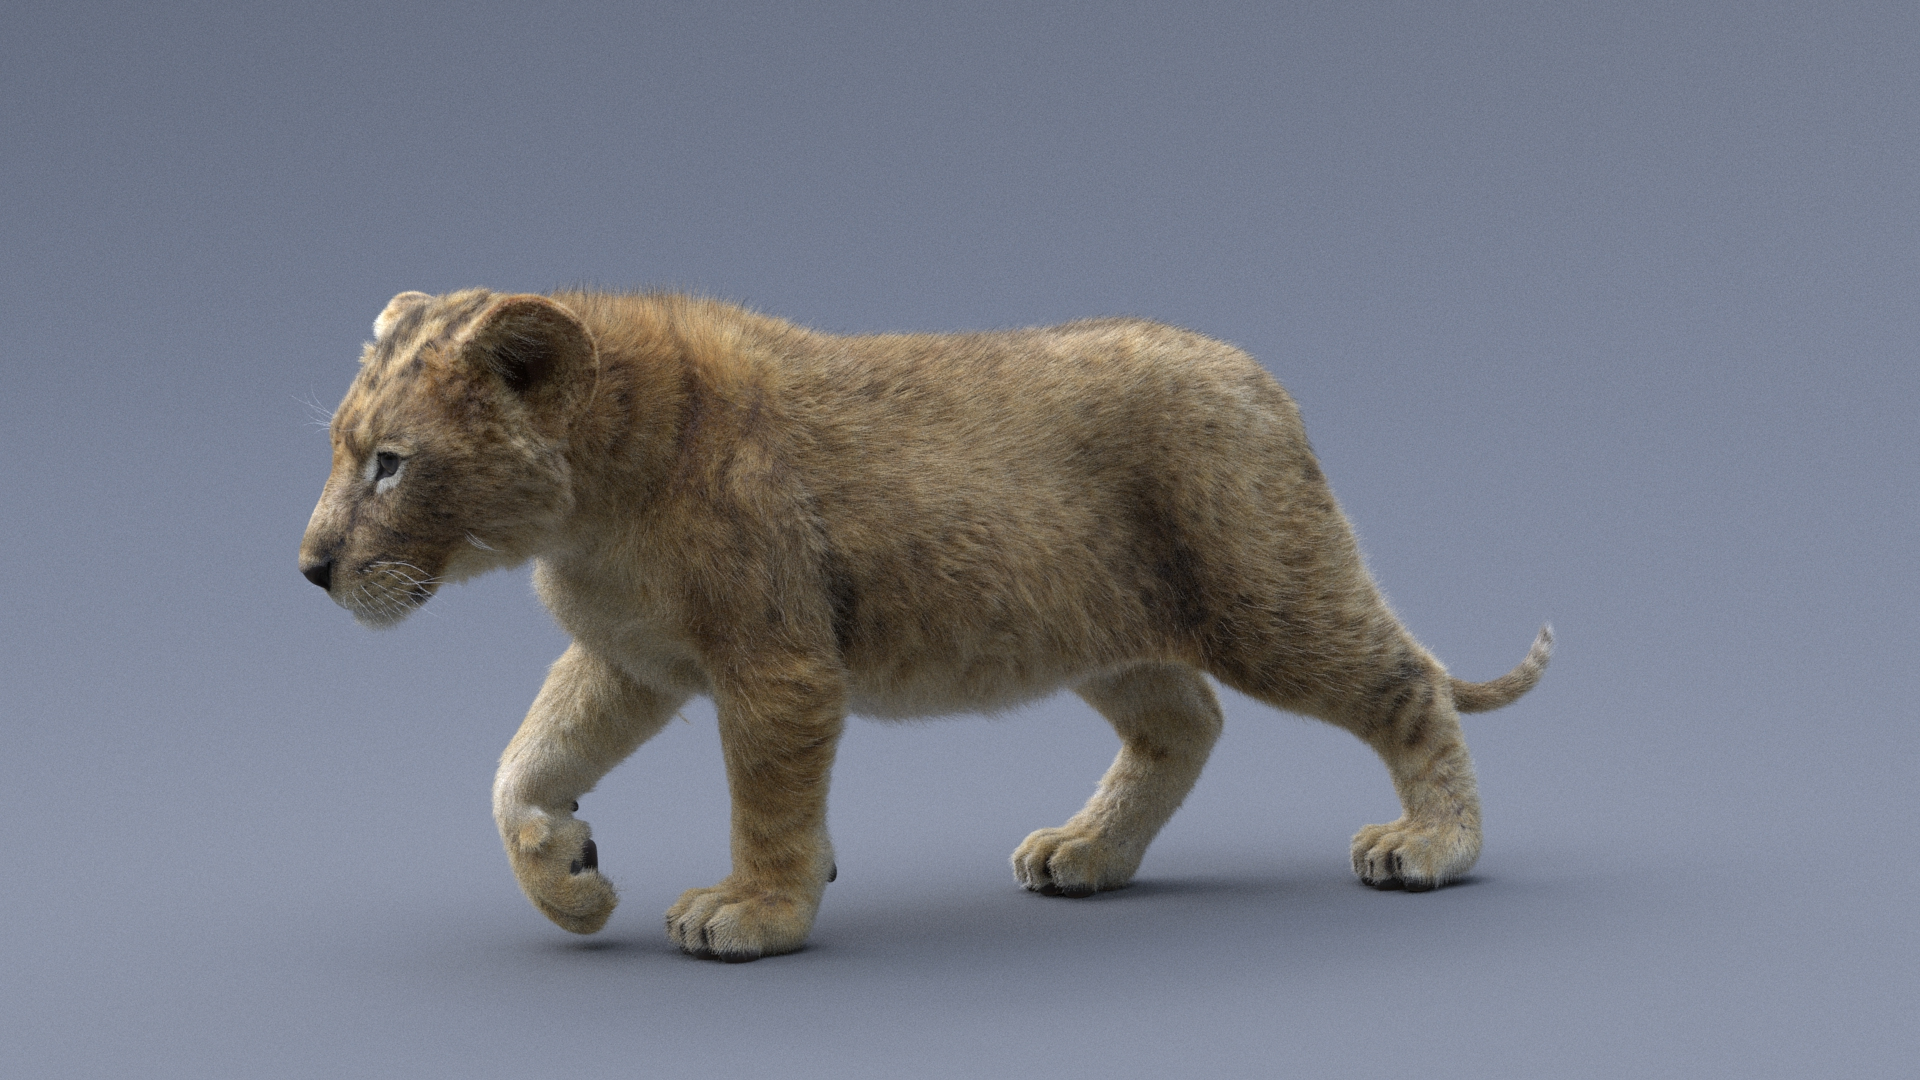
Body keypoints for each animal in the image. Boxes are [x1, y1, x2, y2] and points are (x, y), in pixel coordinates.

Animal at [299, 288, 1549, 960]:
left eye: (391, 465)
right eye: (344, 451)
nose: (308, 569)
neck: (586, 506)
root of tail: (1259, 376)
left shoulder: (779, 665)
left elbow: (767, 801)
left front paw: (757, 909)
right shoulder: (632, 657)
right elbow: (523, 765)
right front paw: (570, 880)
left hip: (1265, 592)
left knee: (1403, 683)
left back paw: (1434, 844)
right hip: (1101, 628)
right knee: (1184, 722)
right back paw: (1087, 852)